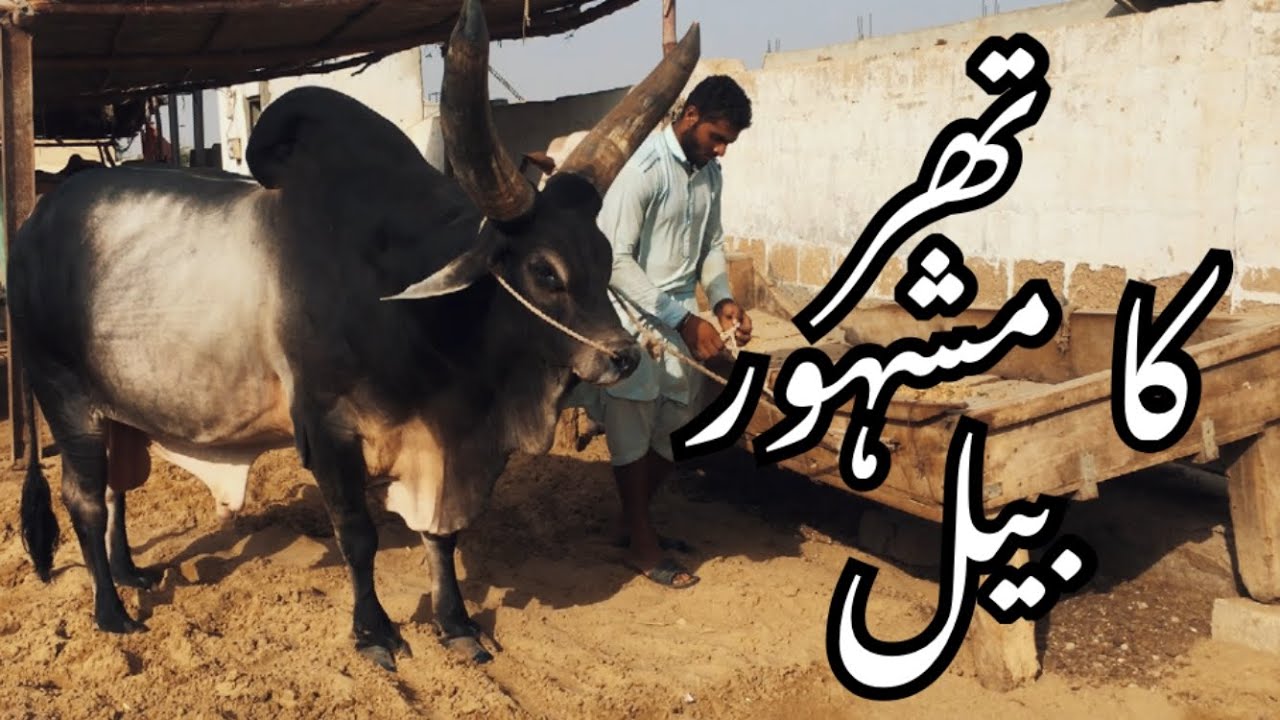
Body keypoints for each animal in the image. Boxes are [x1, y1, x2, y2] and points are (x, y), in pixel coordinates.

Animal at [7, 0, 700, 671]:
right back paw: (111, 613)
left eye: (606, 257)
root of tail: (32, 227)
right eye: (544, 270)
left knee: (117, 492)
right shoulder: (327, 428)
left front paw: (457, 625)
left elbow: (441, 536)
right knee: (85, 499)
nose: (622, 356)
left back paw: (132, 575)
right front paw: (375, 633)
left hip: (118, 409)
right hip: (63, 396)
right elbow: (357, 535)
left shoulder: (440, 448)